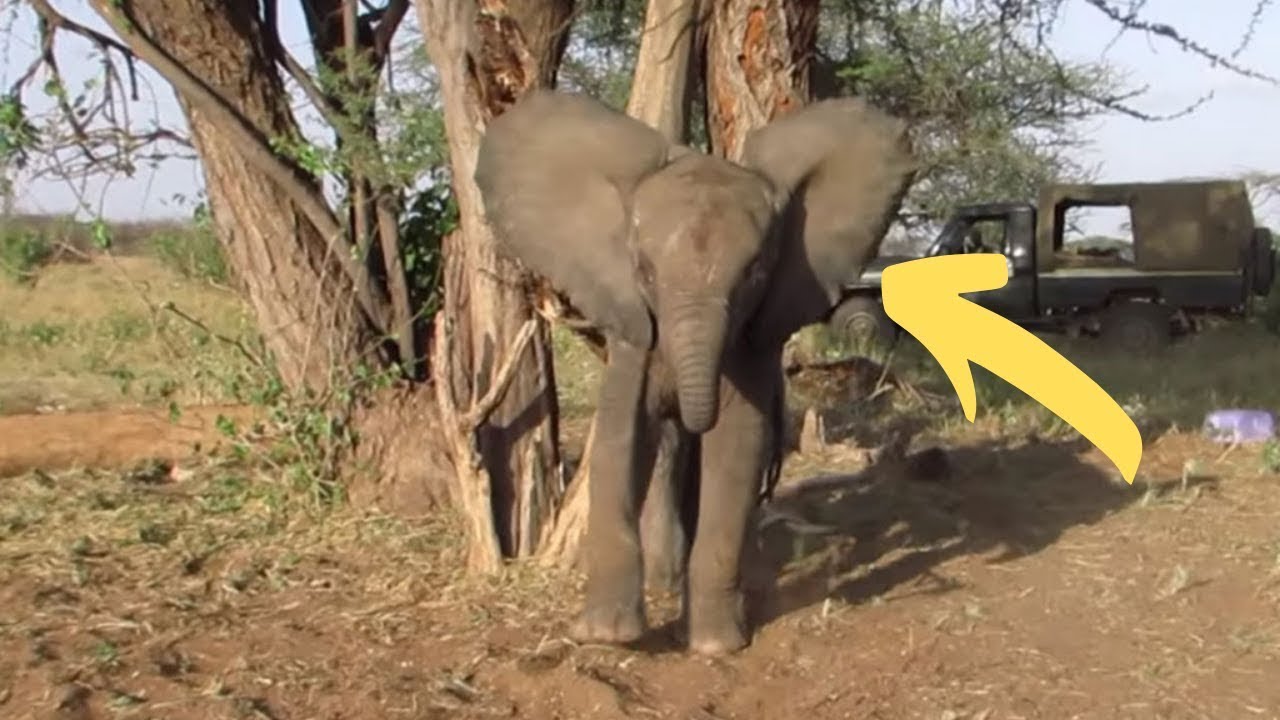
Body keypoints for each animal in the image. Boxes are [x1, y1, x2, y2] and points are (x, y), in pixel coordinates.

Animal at [473, 89, 916, 655]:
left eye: (755, 274)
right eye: (643, 270)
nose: (687, 407)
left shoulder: (747, 342)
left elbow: (736, 444)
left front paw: (714, 646)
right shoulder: (632, 325)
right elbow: (620, 436)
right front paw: (608, 638)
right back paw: (665, 582)